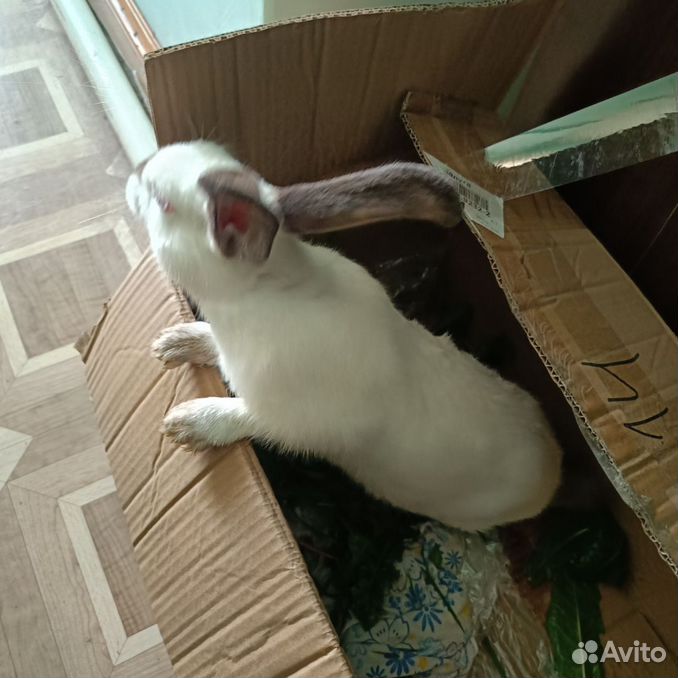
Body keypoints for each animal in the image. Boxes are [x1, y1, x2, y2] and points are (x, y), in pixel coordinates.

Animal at [126, 140, 562, 531]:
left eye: (164, 204)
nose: (135, 174)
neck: (265, 291)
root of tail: (554, 463)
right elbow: (209, 343)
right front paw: (174, 342)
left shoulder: (286, 417)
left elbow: (240, 417)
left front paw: (187, 424)